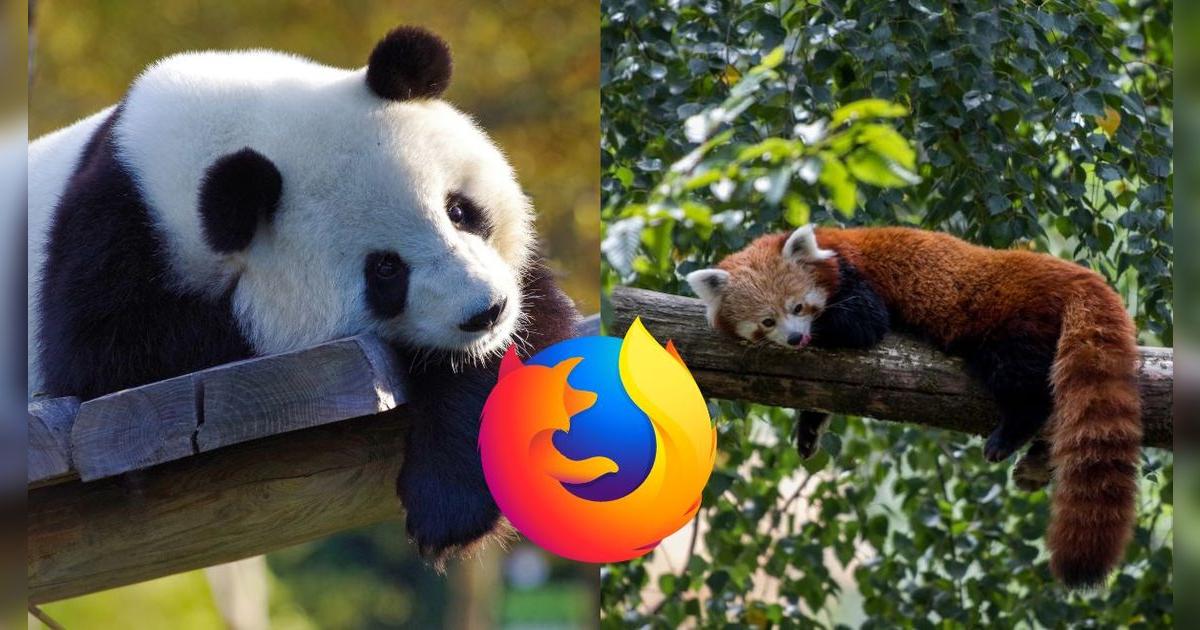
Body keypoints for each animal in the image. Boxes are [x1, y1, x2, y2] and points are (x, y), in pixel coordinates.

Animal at [28, 26, 578, 558]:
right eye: (385, 270)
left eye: (459, 210)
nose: (486, 312)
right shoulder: (107, 242)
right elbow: (104, 356)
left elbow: (528, 332)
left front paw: (449, 503)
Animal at [686, 224, 1143, 589]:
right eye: (767, 320)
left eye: (799, 307)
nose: (797, 338)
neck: (828, 252)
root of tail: (1070, 271)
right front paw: (809, 429)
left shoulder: (855, 283)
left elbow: (864, 324)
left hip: (1015, 323)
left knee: (1025, 384)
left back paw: (1013, 430)